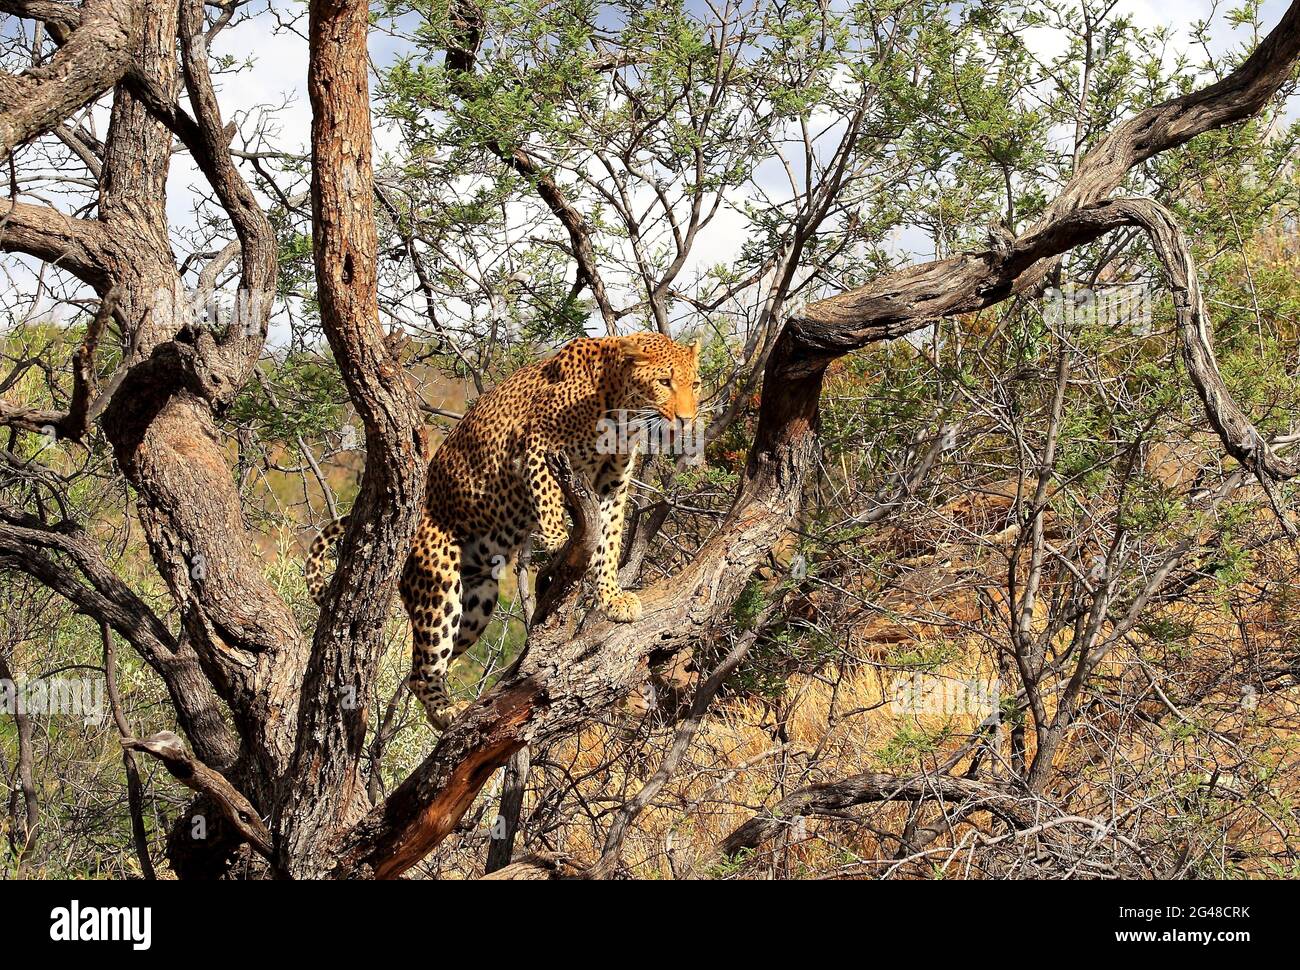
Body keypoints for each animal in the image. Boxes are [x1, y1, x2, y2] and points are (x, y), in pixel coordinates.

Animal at [305, 331, 702, 729]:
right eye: (664, 382)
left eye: (694, 384)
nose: (686, 420)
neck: (619, 407)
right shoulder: (539, 447)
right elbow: (548, 496)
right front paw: (557, 539)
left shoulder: (611, 486)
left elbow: (609, 542)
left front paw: (613, 598)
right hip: (439, 587)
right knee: (422, 668)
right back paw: (448, 711)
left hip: (479, 598)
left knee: (427, 663)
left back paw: (448, 714)